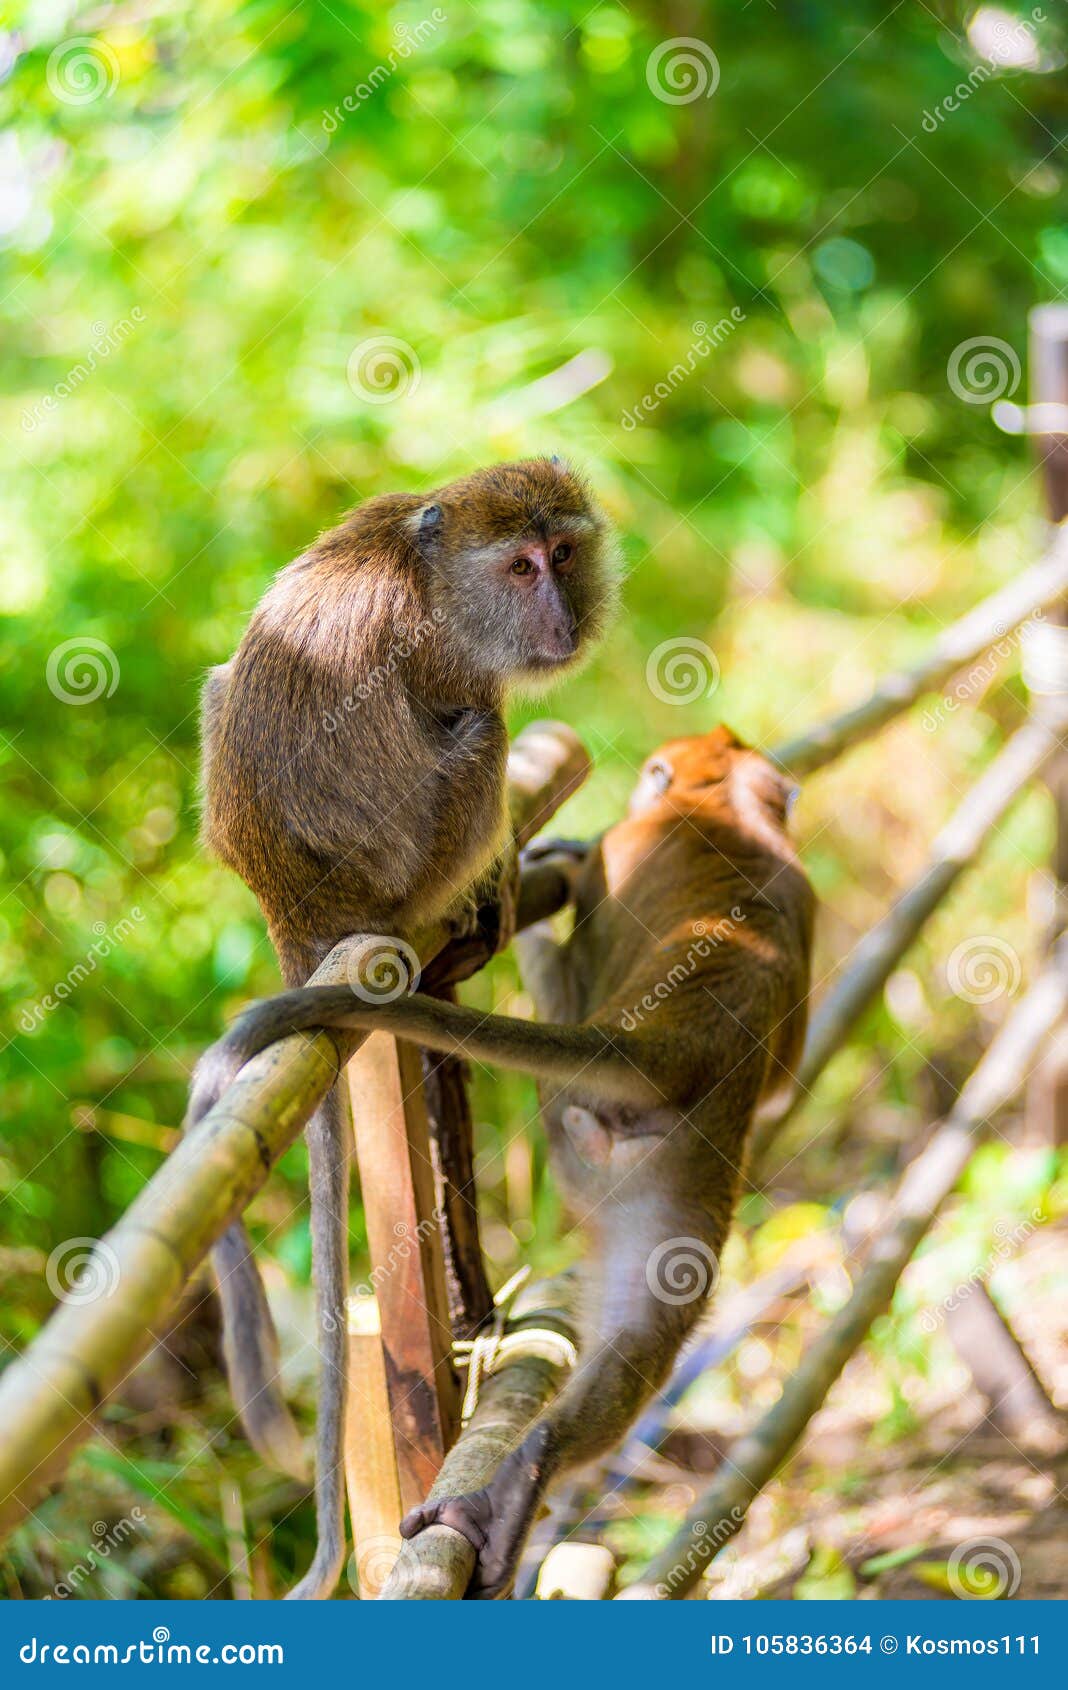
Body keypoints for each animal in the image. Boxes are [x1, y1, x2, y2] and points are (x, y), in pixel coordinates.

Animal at [187, 725, 814, 1598]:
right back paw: (528, 1474)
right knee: (643, 1335)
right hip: (679, 1166)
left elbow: (585, 912)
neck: (724, 808)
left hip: (573, 1126)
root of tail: (688, 1039)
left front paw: (552, 870)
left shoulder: (618, 856)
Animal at [188, 457, 619, 1600]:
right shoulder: (454, 658)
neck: (430, 569)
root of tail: (297, 908)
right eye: (521, 567)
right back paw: (479, 887)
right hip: (410, 863)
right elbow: (471, 713)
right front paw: (505, 875)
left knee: (217, 684)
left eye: (564, 552)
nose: (562, 613)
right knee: (481, 737)